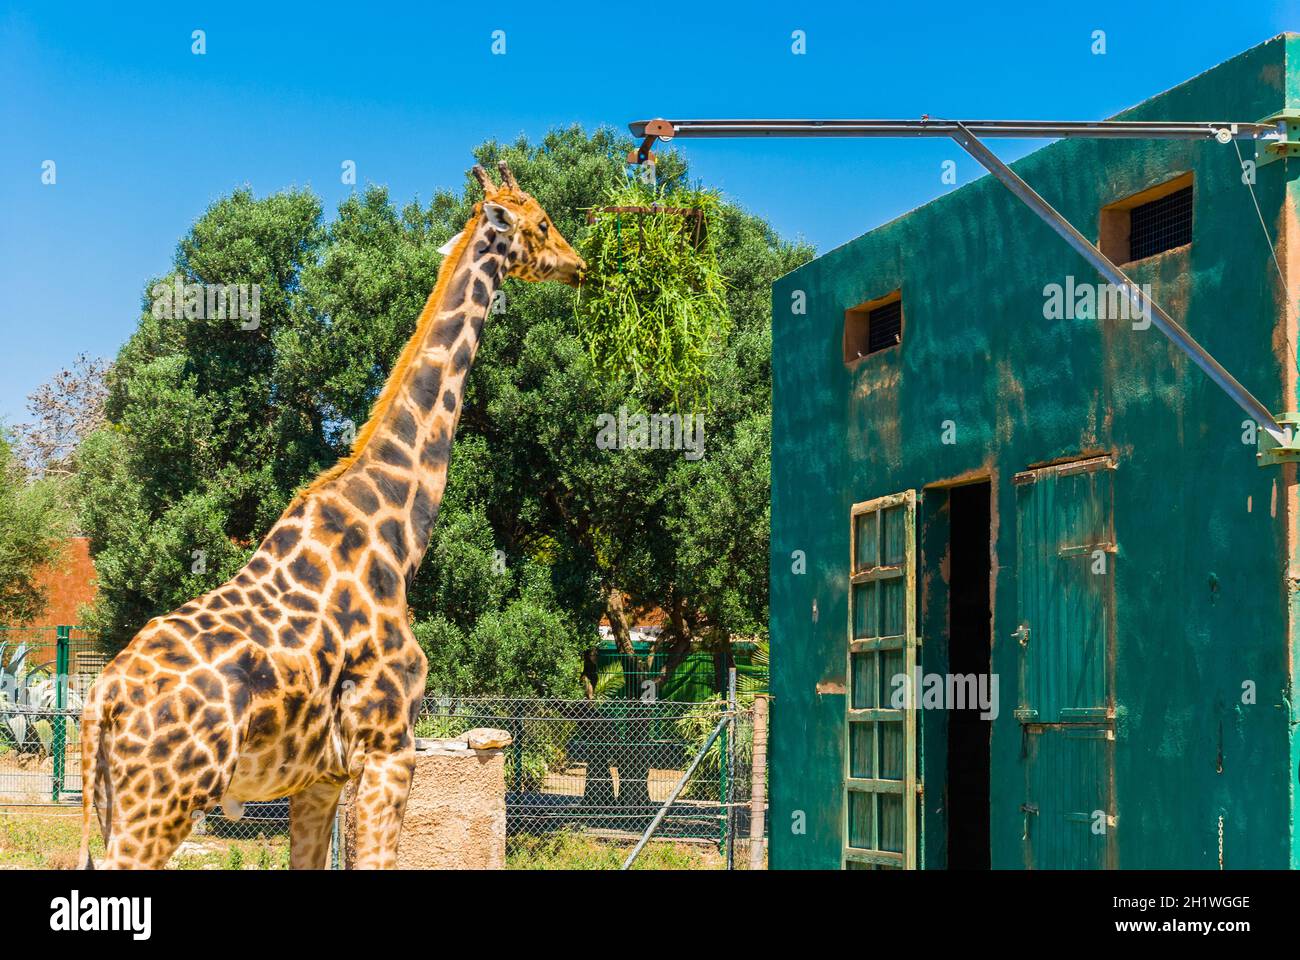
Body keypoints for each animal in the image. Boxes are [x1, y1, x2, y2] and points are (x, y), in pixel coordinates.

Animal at [78, 161, 586, 869]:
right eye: (540, 222)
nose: (581, 265)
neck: (396, 536)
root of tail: (101, 703)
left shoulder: (319, 778)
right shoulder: (389, 748)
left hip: (115, 804)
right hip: (160, 803)